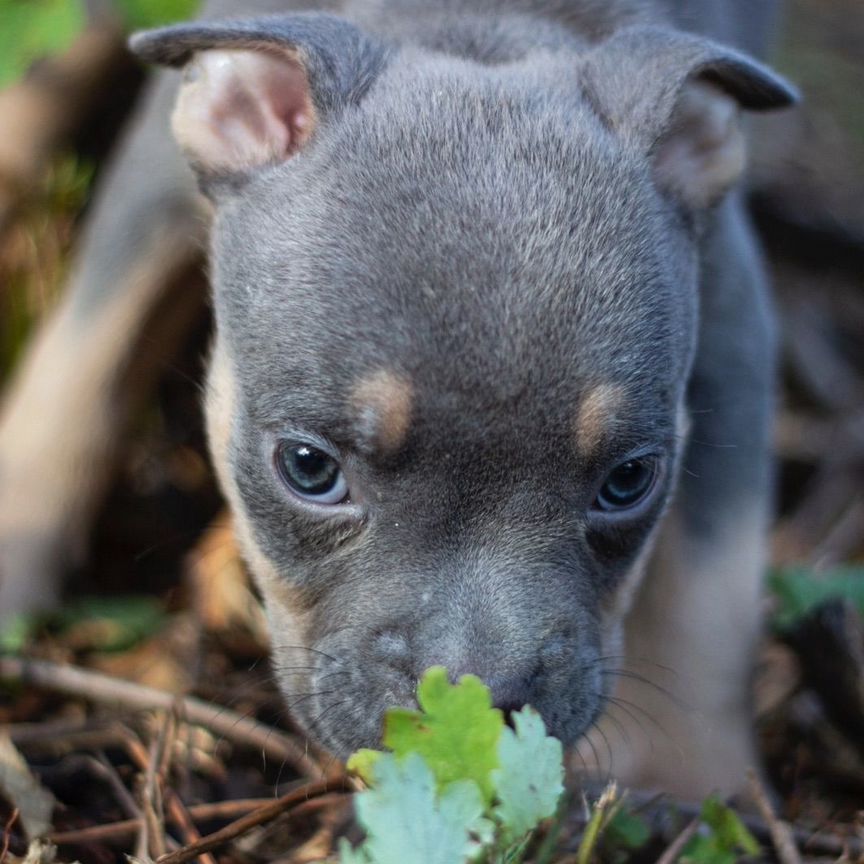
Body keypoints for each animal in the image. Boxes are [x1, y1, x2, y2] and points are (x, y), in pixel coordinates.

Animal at [1, 0, 796, 800]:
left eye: (629, 480)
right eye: (308, 467)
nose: (485, 693)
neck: (477, 26)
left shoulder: (733, 310)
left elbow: (710, 591)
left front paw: (696, 785)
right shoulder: (149, 186)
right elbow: (83, 353)